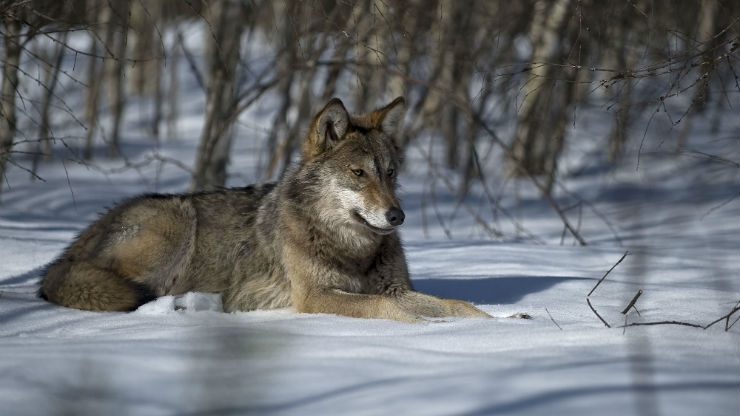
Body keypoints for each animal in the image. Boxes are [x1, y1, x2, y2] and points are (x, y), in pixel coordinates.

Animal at [39, 97, 490, 322]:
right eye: (359, 173)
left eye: (391, 173)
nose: (397, 217)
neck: (352, 249)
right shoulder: (315, 296)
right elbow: (387, 308)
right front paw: (421, 329)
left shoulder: (397, 287)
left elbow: (455, 305)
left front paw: (490, 324)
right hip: (176, 222)